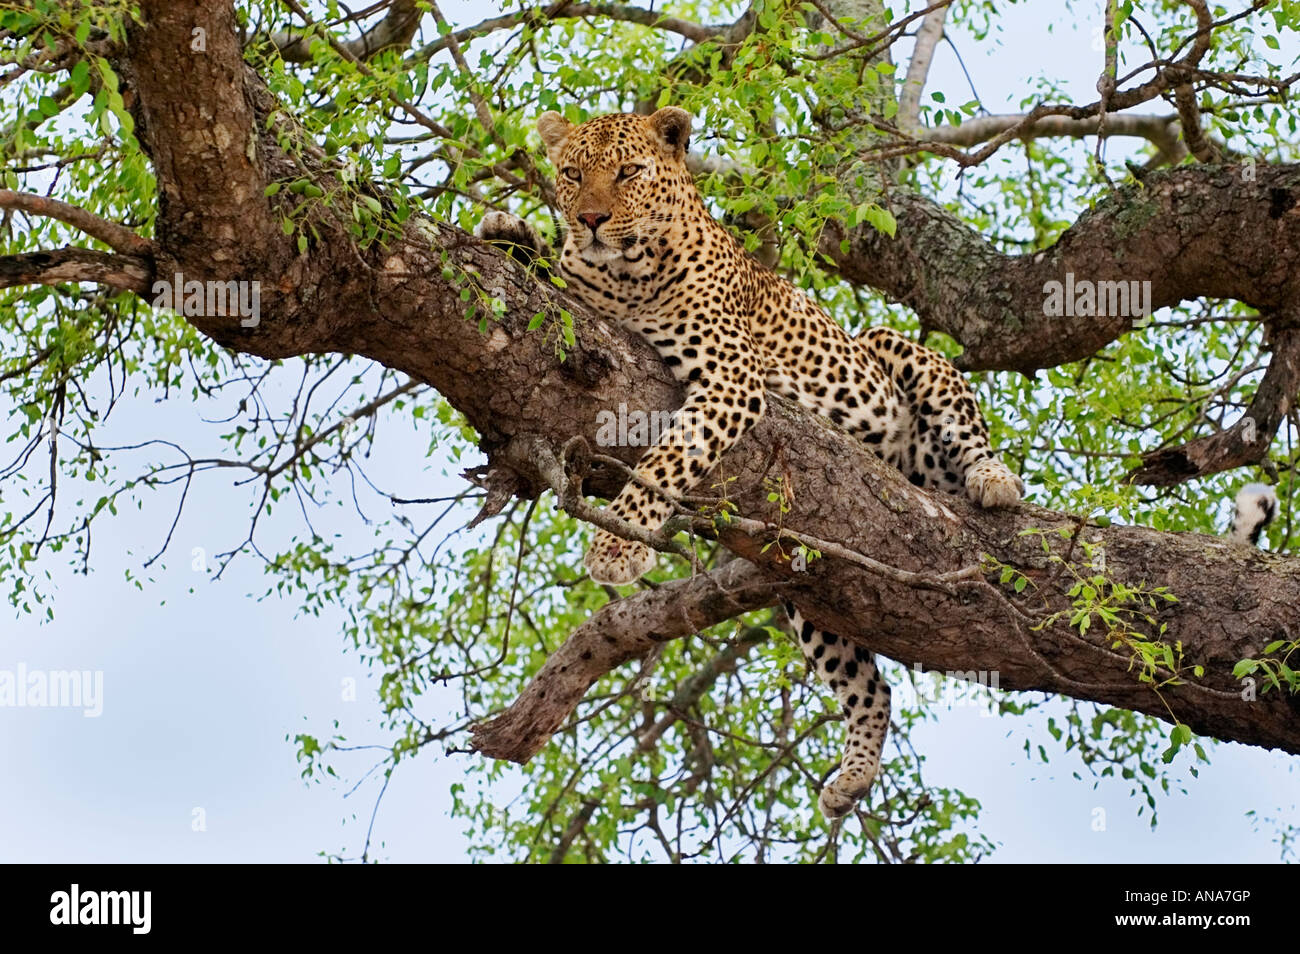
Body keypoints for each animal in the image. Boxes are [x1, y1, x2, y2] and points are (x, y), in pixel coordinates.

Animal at [476, 107, 1025, 819]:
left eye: (628, 173)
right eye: (571, 174)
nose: (592, 219)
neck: (623, 279)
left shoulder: (731, 376)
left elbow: (669, 456)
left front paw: (618, 547)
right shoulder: (585, 299)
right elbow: (548, 267)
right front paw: (509, 229)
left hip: (893, 356)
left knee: (963, 424)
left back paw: (993, 482)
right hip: (814, 592)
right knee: (870, 687)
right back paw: (851, 781)